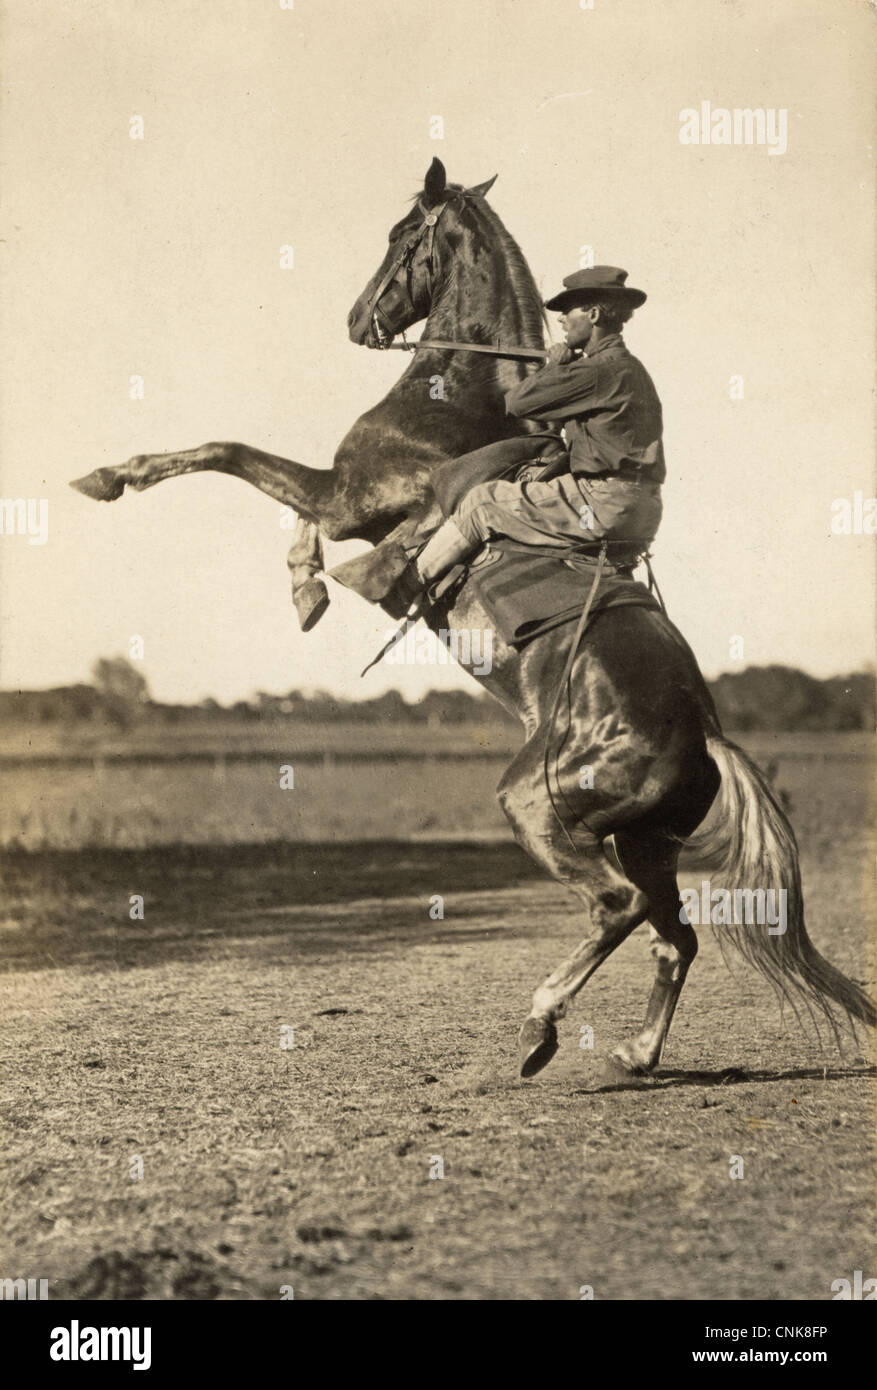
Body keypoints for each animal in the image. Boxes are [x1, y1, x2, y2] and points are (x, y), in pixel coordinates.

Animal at [71, 156, 875, 1076]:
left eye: (397, 235)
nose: (357, 319)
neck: (462, 393)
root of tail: (703, 730)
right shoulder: (345, 502)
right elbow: (287, 511)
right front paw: (308, 590)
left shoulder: (348, 497)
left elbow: (233, 455)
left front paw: (114, 476)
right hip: (646, 841)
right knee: (672, 937)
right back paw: (633, 1054)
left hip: (540, 808)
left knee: (615, 906)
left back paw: (539, 1025)